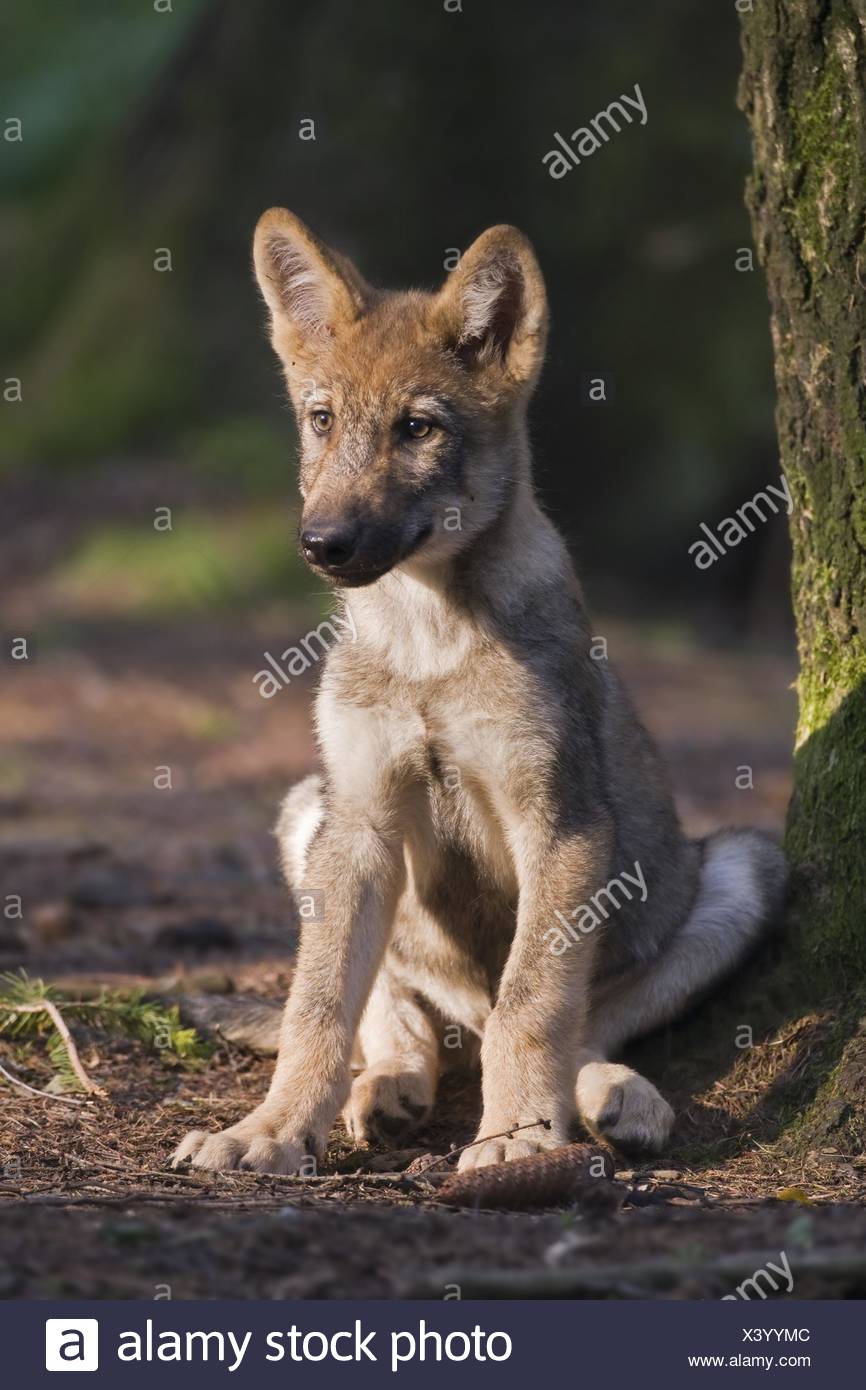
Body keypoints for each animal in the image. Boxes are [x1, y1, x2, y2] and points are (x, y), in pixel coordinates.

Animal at [173, 211, 786, 1174]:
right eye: (321, 420)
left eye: (418, 428)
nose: (322, 542)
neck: (428, 638)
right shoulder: (361, 820)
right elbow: (319, 1009)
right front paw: (270, 1132)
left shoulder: (561, 826)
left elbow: (532, 1006)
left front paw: (519, 1138)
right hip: (309, 815)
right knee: (402, 1018)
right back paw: (388, 1091)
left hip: (745, 868)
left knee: (567, 1025)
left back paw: (612, 1098)